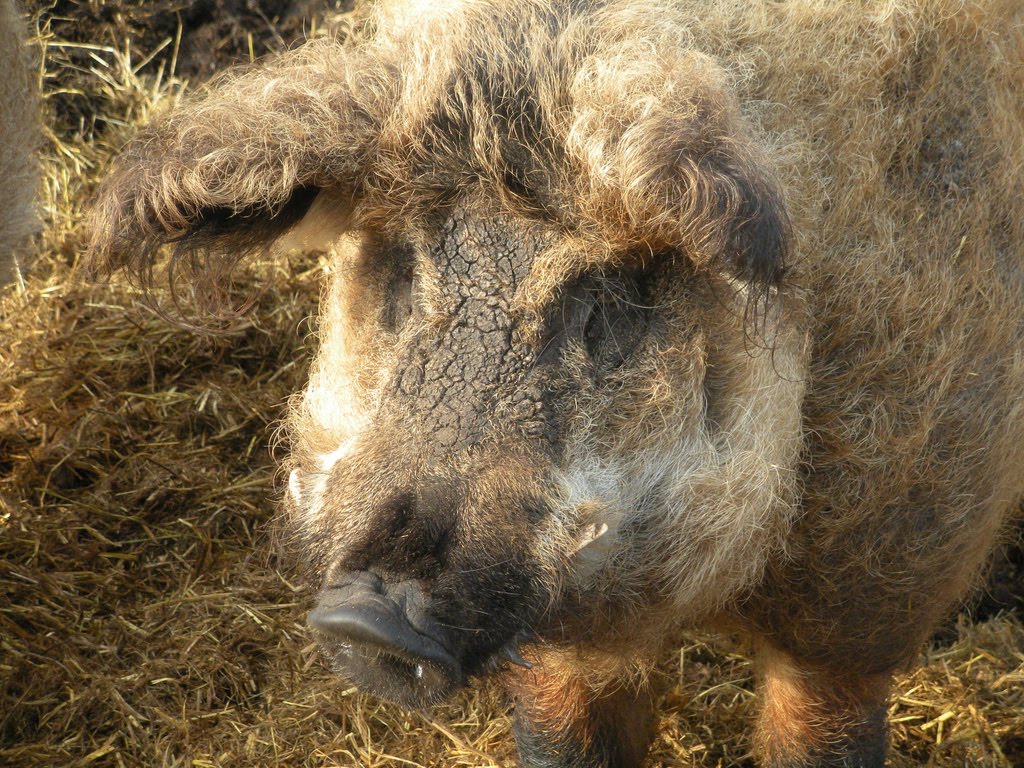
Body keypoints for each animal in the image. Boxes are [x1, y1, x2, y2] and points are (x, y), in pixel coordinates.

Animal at [86, 1, 1024, 765]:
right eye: (405, 273)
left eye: (602, 303)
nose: (367, 618)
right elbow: (564, 734)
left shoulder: (878, 567)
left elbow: (823, 732)